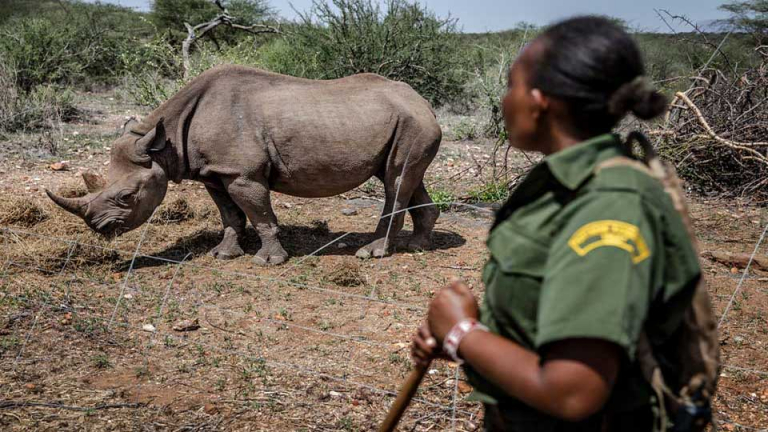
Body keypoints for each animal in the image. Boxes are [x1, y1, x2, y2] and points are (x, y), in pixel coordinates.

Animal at [47, 65, 442, 265]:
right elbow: (231, 216)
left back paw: (372, 254)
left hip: (412, 123)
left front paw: (268, 261)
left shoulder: (242, 173)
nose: (100, 228)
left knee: (395, 180)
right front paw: (224, 254)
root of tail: (425, 102)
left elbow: (260, 214)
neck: (166, 140)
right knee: (406, 177)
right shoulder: (215, 172)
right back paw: (418, 247)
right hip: (407, 122)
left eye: (128, 196)